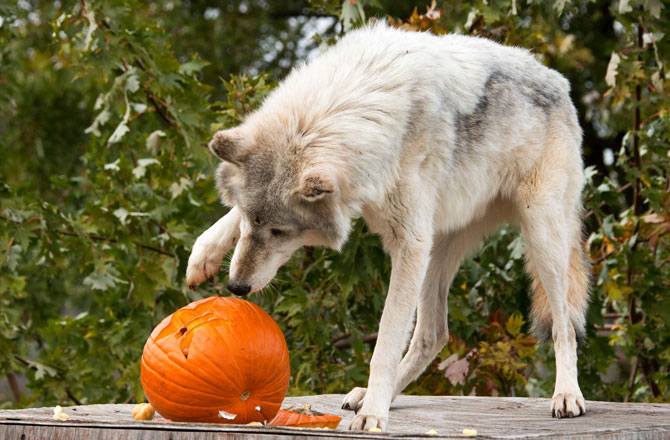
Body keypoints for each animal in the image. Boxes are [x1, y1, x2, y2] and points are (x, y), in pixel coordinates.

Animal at [186, 23, 590, 430]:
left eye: (281, 232)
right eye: (251, 219)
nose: (236, 287)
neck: (361, 96)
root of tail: (559, 82)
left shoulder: (408, 243)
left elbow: (385, 341)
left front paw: (374, 415)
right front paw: (204, 253)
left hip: (538, 236)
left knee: (565, 325)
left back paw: (567, 394)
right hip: (438, 246)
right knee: (433, 335)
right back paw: (372, 394)